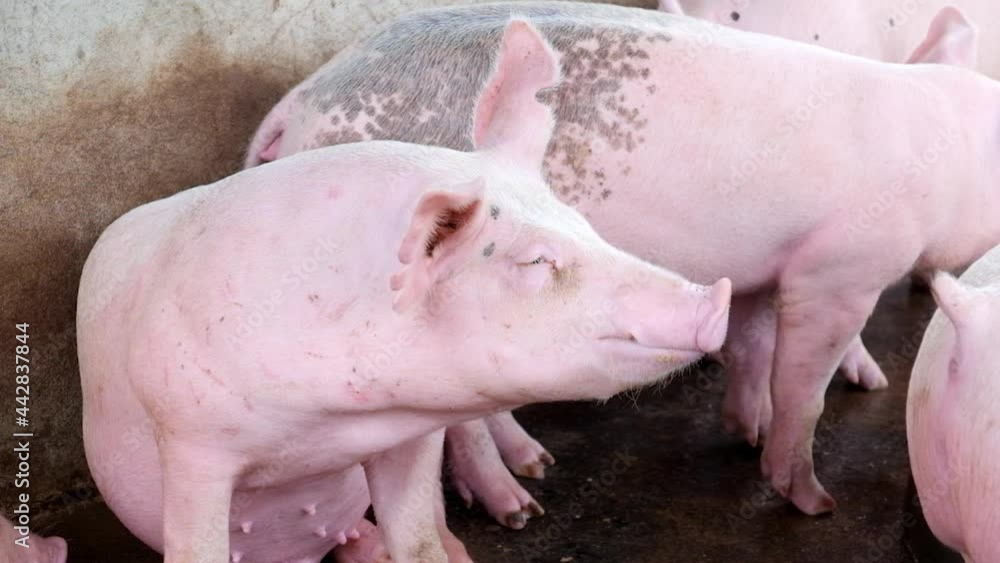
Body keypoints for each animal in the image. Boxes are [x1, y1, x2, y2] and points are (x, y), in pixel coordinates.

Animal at [77, 19, 732, 563]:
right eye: (536, 260)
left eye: (585, 225)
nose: (716, 297)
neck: (321, 428)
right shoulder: (190, 444)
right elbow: (195, 545)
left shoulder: (405, 438)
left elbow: (417, 540)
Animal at [243, 2, 1000, 515]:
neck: (949, 158)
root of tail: (292, 106)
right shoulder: (838, 271)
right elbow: (802, 388)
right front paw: (811, 499)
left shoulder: (769, 267)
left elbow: (754, 347)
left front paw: (745, 432)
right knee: (457, 418)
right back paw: (519, 507)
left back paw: (536, 464)